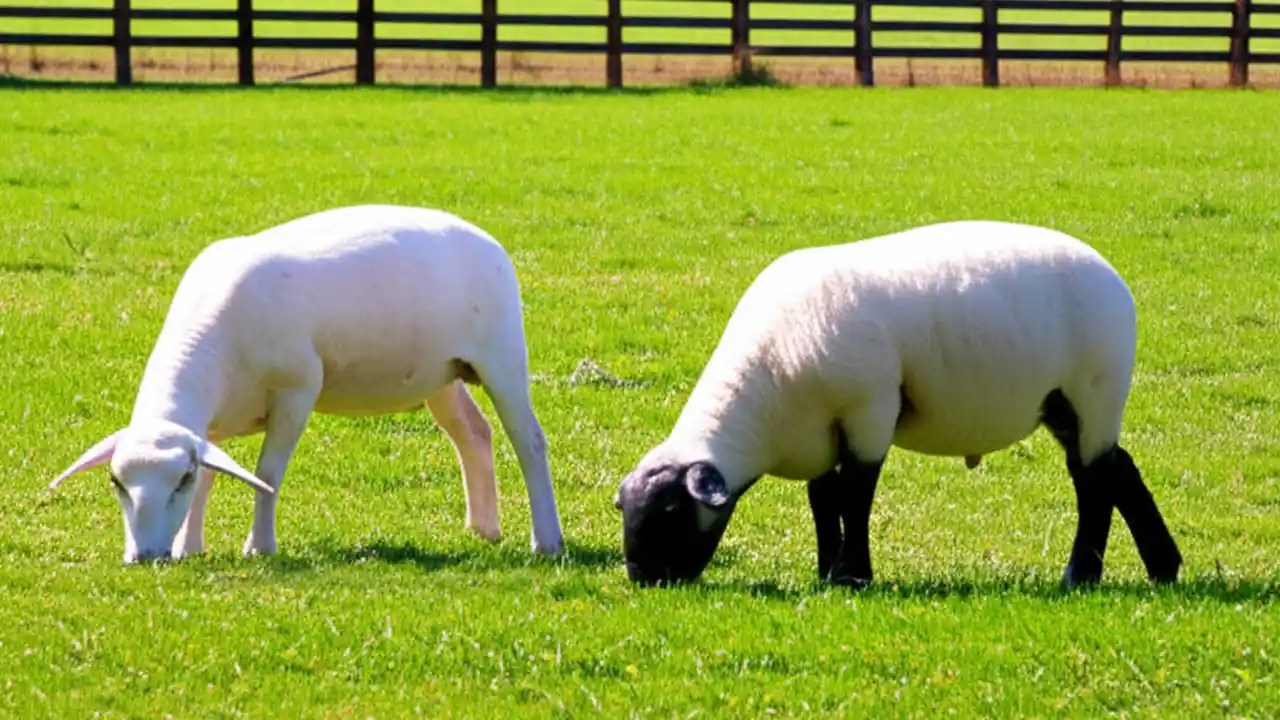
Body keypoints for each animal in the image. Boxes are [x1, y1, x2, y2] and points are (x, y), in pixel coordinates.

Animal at [51, 204, 565, 563]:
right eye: (116, 481)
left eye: (179, 480)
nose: (144, 557)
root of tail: (485, 238)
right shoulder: (210, 424)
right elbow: (215, 475)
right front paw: (189, 547)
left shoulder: (297, 390)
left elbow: (266, 473)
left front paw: (258, 547)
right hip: (441, 374)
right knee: (473, 433)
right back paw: (483, 528)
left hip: (501, 356)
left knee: (529, 441)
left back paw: (547, 540)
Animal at [615, 220, 1182, 588]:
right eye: (624, 508)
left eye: (670, 509)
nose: (642, 578)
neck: (765, 395)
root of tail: (1112, 277)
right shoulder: (820, 430)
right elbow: (823, 498)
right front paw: (826, 571)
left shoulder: (869, 410)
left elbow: (856, 495)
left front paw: (852, 576)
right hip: (1065, 406)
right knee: (1117, 469)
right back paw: (1163, 567)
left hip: (1094, 387)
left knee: (1094, 482)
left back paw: (1080, 575)